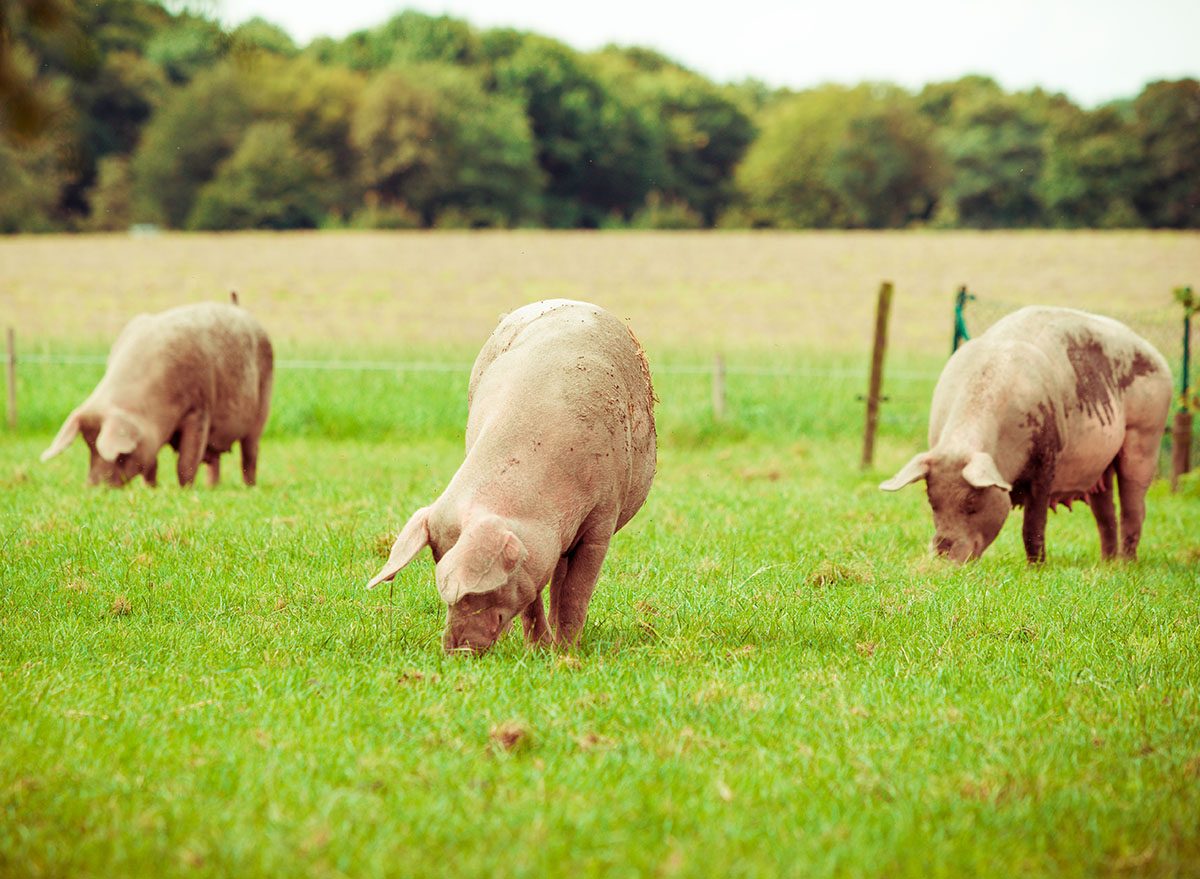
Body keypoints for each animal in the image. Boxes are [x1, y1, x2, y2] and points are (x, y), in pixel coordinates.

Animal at [40, 295, 273, 488]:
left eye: (121, 456)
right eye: (89, 447)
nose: (92, 487)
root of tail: (236, 305)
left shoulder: (199, 410)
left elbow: (187, 461)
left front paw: (185, 490)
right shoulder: (150, 434)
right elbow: (152, 463)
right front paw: (151, 488)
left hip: (262, 407)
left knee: (250, 454)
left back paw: (249, 487)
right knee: (214, 460)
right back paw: (211, 487)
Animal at [366, 299, 657, 653]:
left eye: (478, 588)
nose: (456, 650)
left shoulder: (602, 515)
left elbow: (576, 592)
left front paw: (566, 653)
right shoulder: (533, 550)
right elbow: (532, 596)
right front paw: (539, 650)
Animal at [880, 306, 1172, 563]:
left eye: (972, 501)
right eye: (932, 501)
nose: (941, 555)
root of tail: (1159, 357)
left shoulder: (1047, 458)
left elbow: (1033, 523)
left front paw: (1037, 567)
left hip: (1146, 435)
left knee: (1134, 508)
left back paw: (1127, 564)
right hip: (1102, 465)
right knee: (1105, 512)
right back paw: (1107, 564)